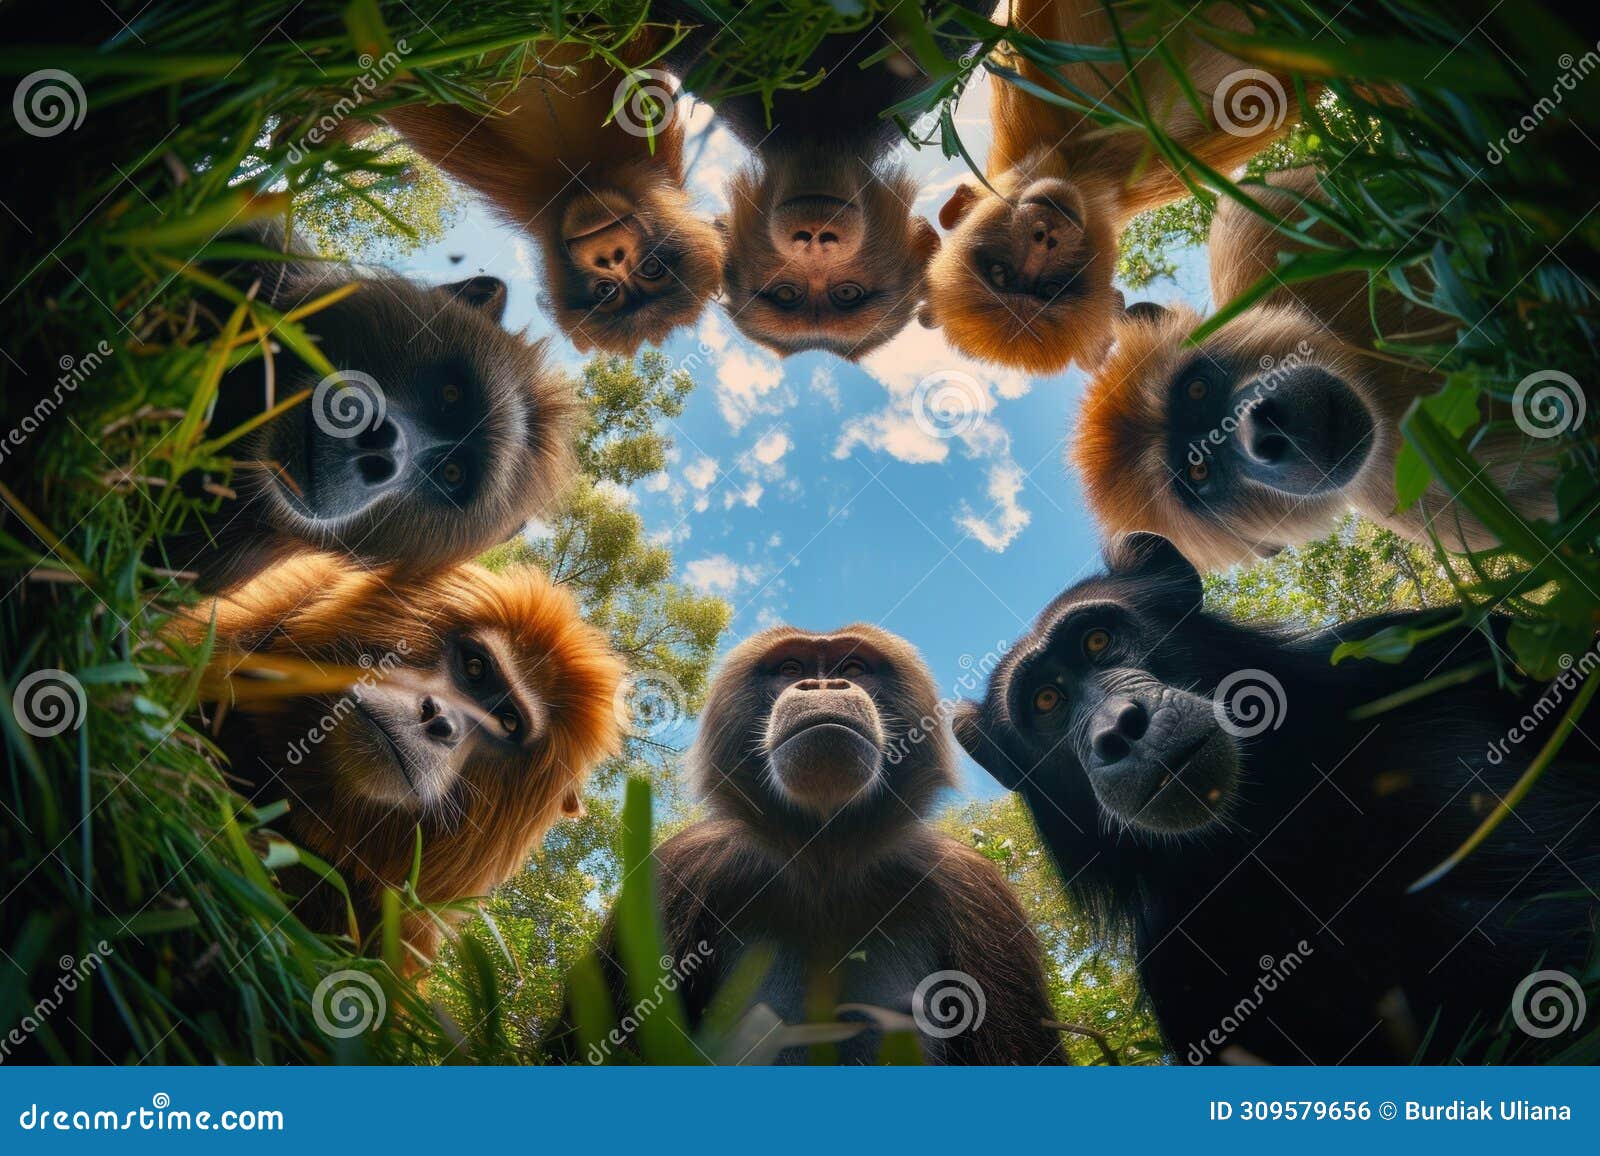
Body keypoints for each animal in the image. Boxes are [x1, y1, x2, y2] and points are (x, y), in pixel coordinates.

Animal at [551, 624, 1065, 1064]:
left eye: (853, 667)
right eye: (791, 667)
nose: (822, 685)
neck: (823, 859)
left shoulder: (973, 890)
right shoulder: (680, 870)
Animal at [952, 532, 1600, 1063]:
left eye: (1097, 640)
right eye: (1047, 702)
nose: (1118, 726)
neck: (1279, 812)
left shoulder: (1444, 646)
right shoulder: (1178, 970)